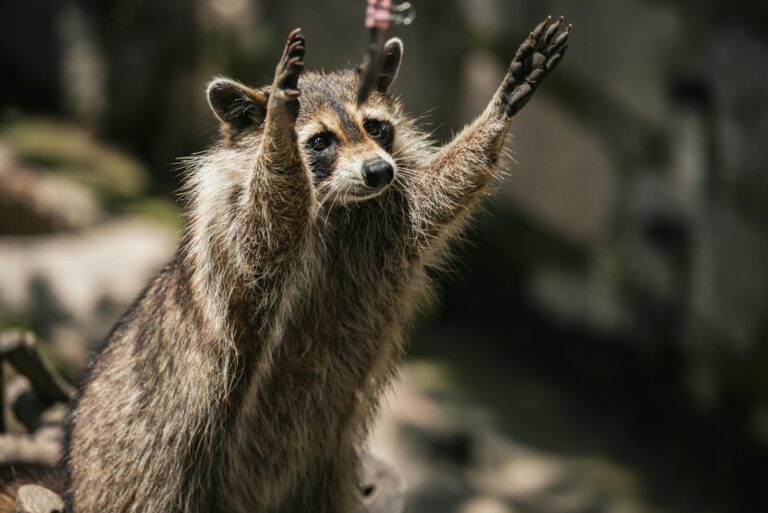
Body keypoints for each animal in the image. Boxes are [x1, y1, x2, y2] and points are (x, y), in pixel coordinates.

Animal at [58, 17, 570, 513]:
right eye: (320, 141)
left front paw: (498, 109)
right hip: (151, 464)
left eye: (376, 127)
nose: (378, 171)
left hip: (324, 466)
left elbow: (436, 198)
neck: (339, 206)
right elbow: (266, 230)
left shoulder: (387, 224)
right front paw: (278, 123)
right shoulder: (233, 245)